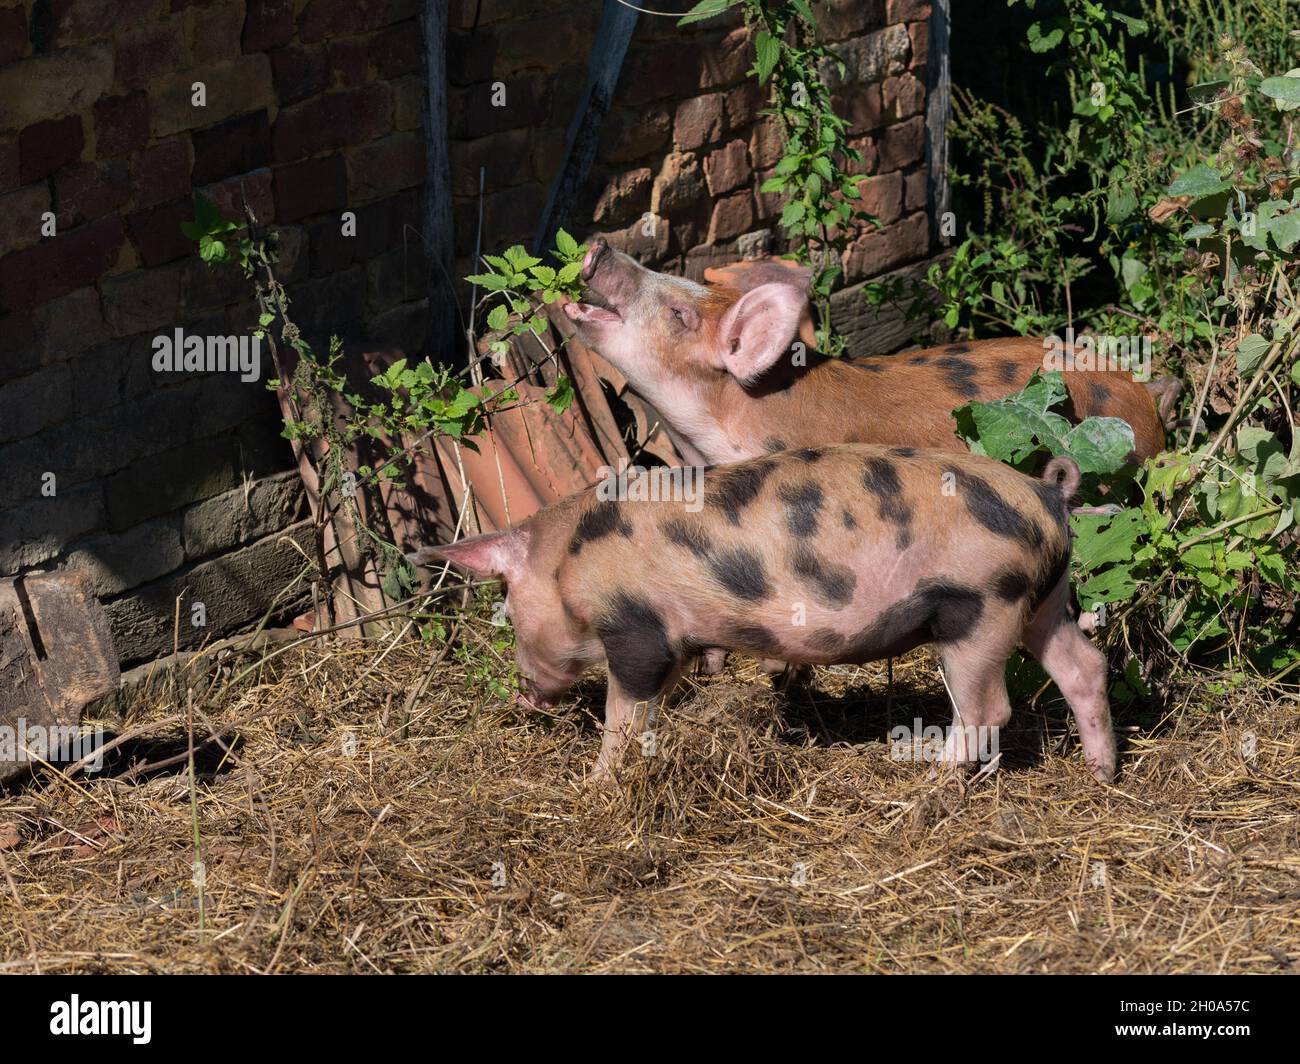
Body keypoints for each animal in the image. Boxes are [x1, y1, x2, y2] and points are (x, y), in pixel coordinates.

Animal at [408, 445, 1117, 785]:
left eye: (507, 605)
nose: (524, 695)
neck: (568, 562)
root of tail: (1050, 497)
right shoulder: (678, 639)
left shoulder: (638, 630)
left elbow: (623, 711)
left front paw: (599, 781)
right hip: (1041, 602)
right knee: (1085, 667)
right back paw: (1100, 774)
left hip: (979, 607)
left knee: (989, 709)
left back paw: (933, 782)